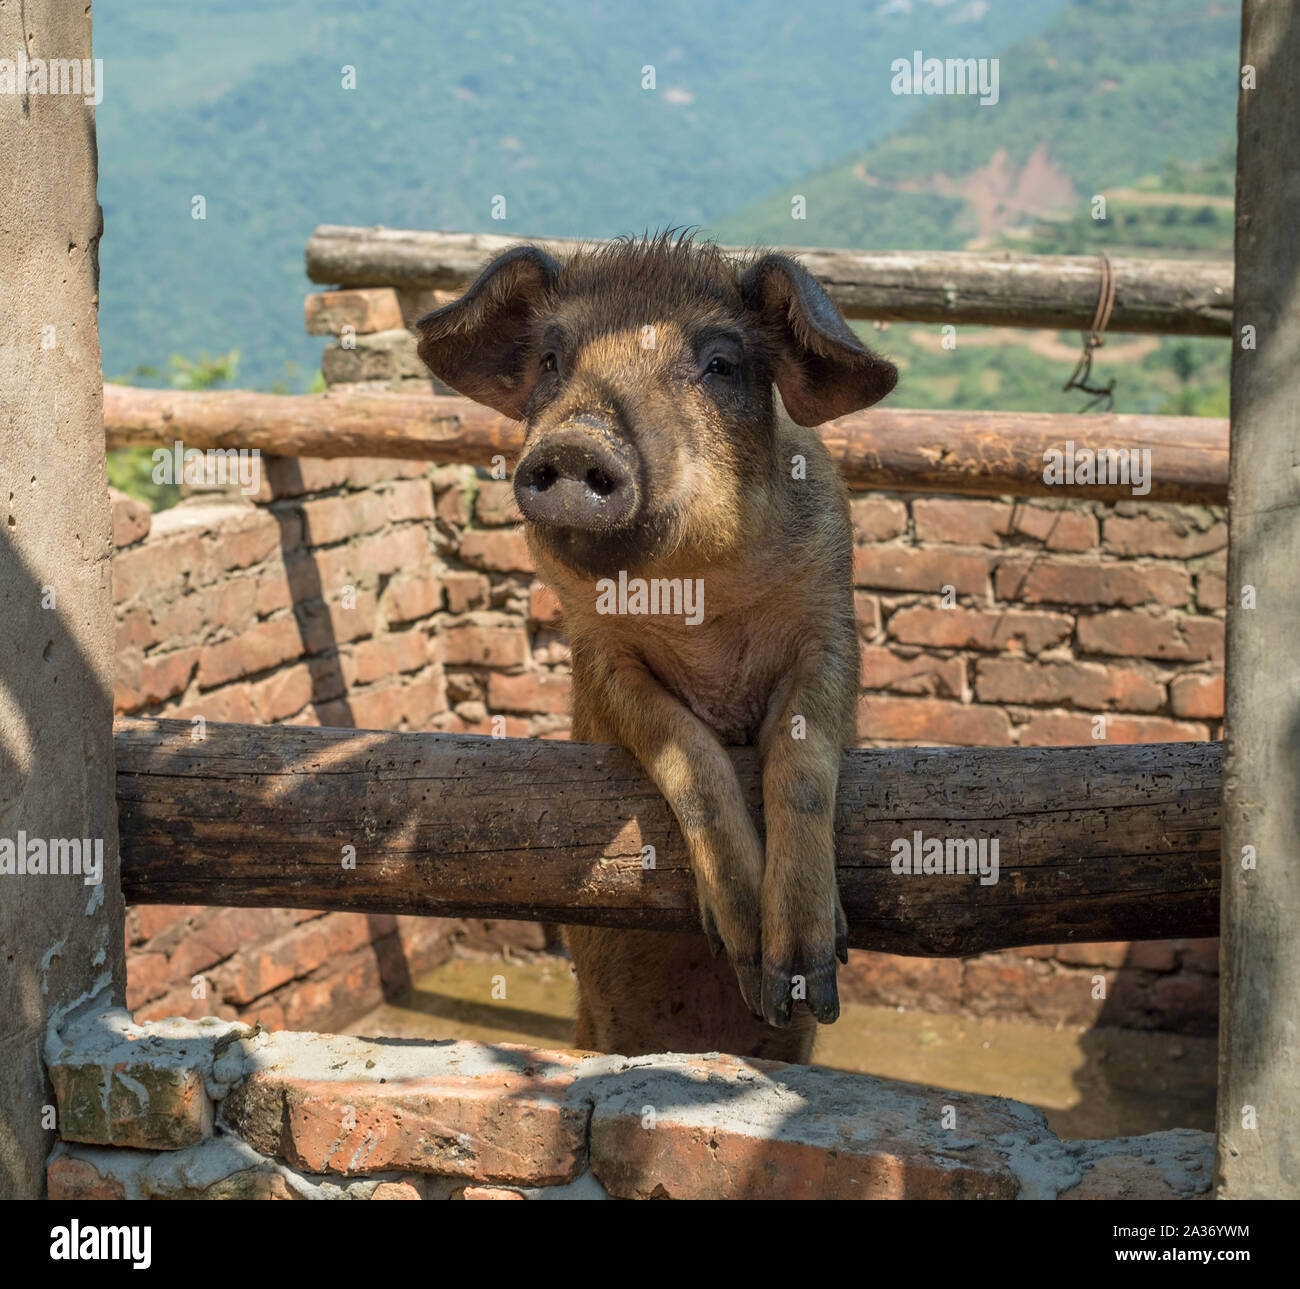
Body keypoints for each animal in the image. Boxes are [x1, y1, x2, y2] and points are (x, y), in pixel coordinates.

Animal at [416, 232, 896, 1063]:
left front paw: (803, 980)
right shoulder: (599, 659)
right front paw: (749, 951)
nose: (576, 441)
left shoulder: (832, 622)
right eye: (551, 358)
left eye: (721, 363)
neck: (699, 606)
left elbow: (804, 757)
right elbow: (686, 750)